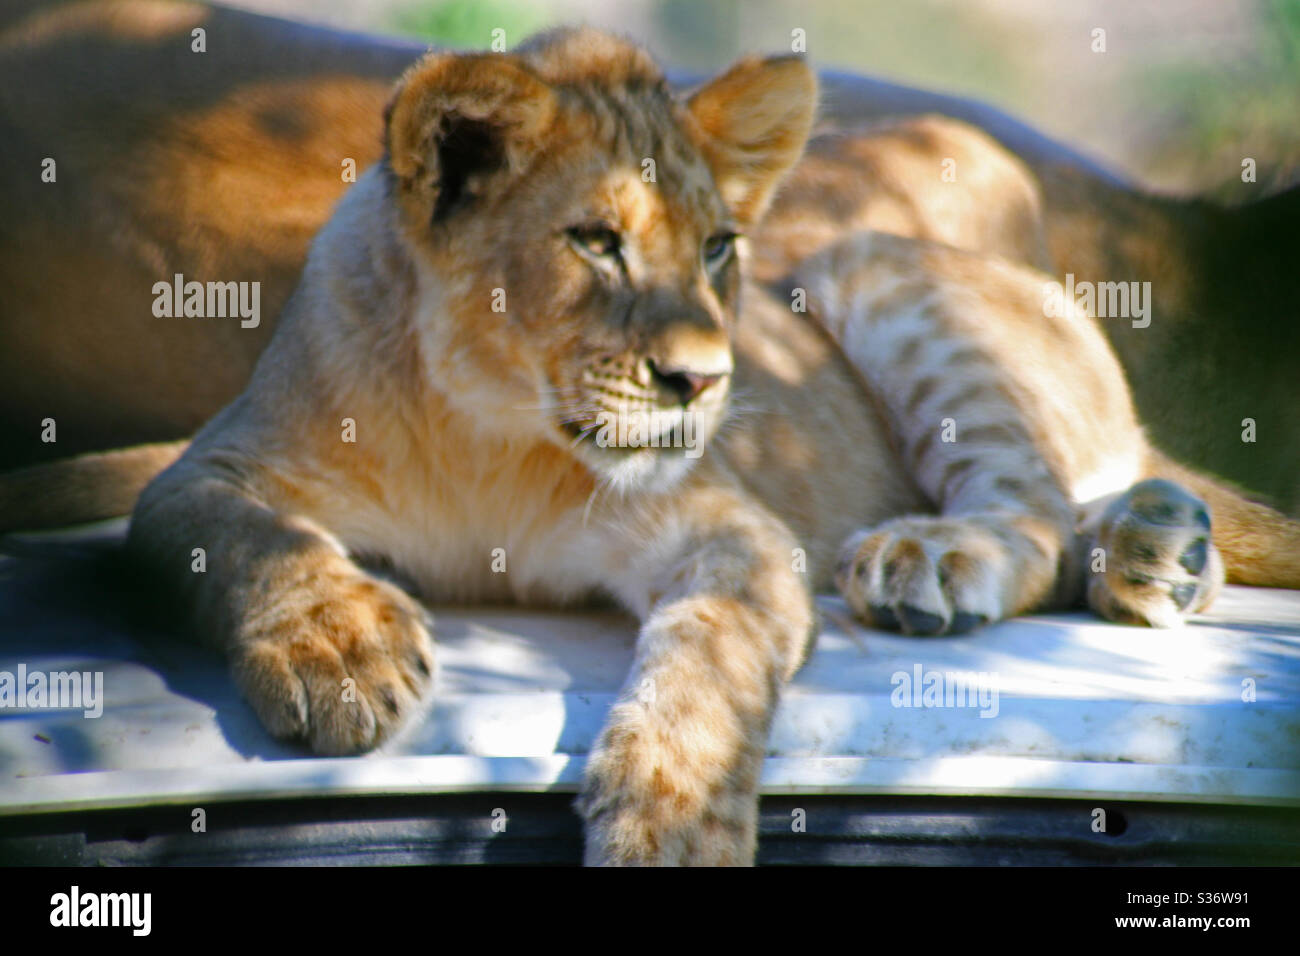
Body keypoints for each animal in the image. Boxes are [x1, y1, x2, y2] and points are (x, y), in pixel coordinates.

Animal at [40, 27, 1284, 866]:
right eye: (596, 243)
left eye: (720, 248)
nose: (704, 381)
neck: (484, 424)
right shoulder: (212, 469)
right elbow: (246, 538)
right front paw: (338, 646)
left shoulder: (735, 532)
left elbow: (708, 658)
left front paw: (671, 827)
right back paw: (1157, 551)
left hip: (868, 264)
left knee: (1030, 507)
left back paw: (949, 556)